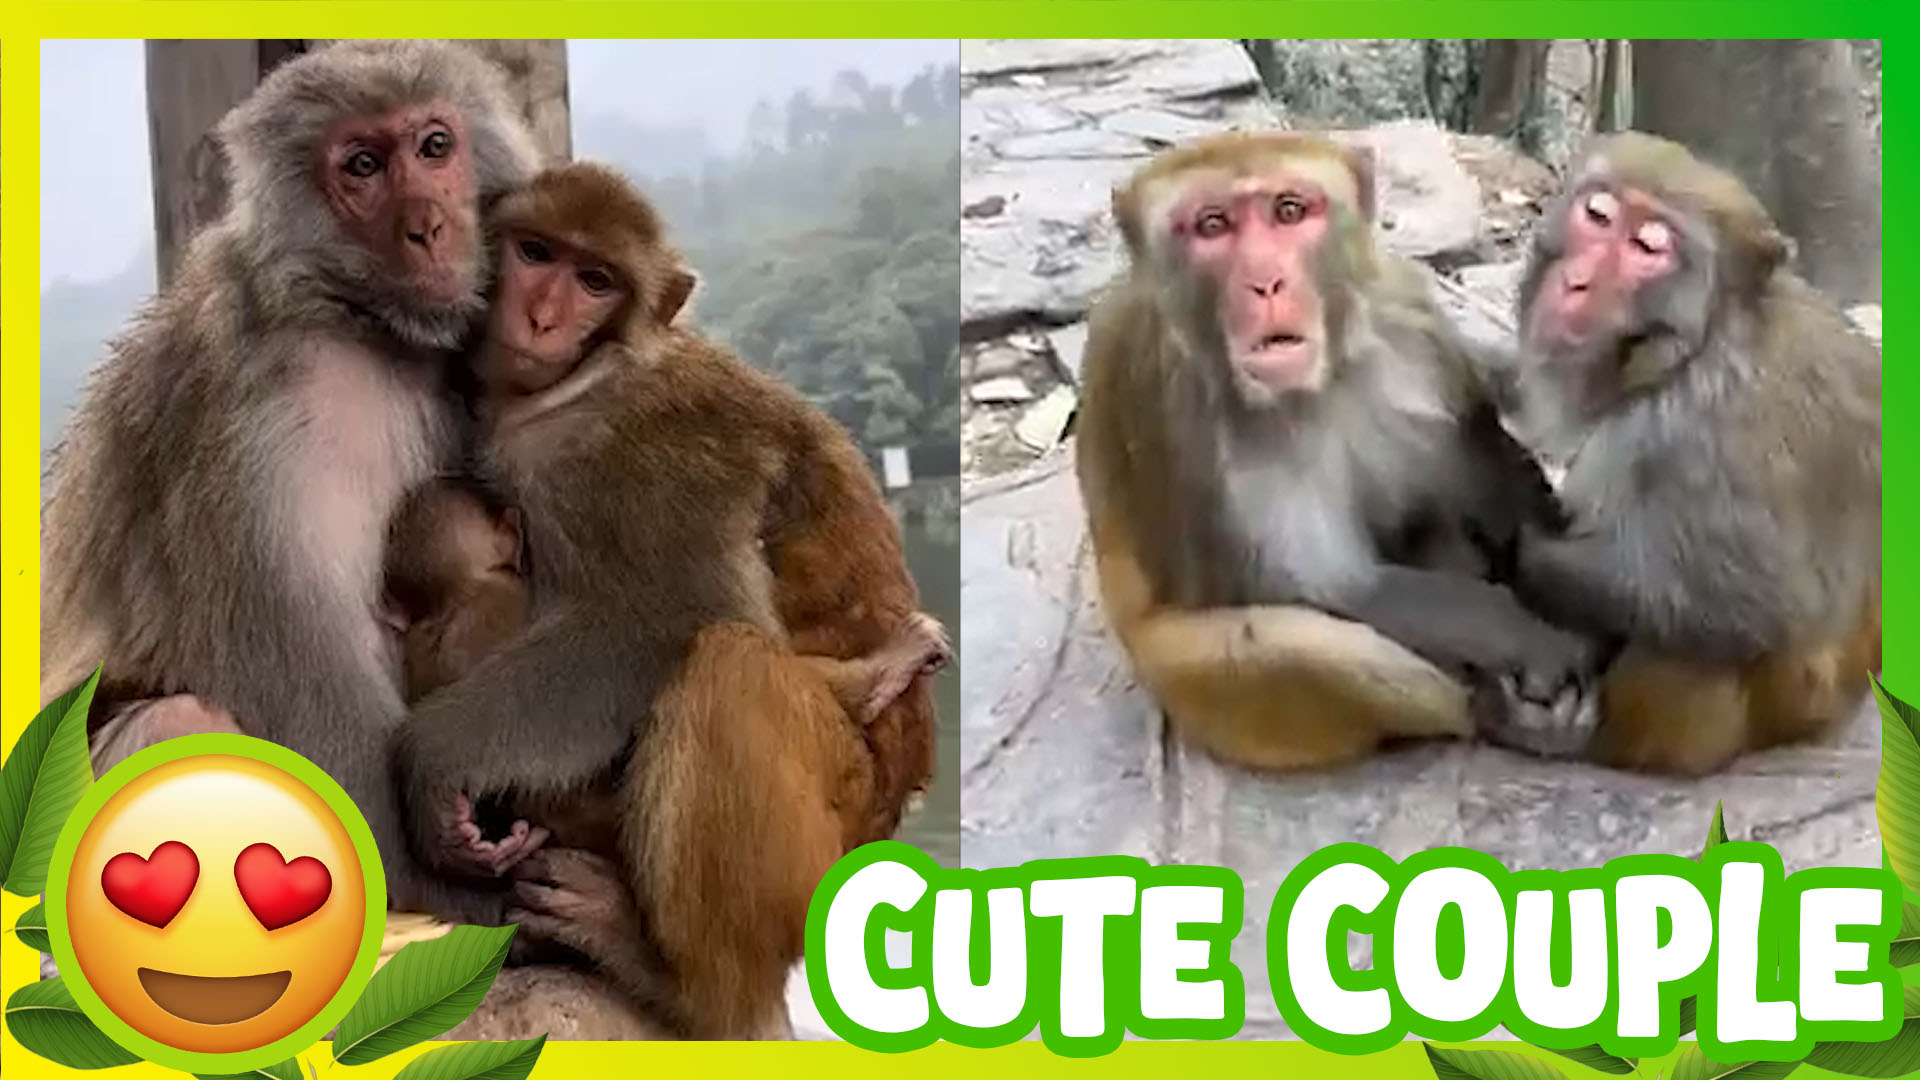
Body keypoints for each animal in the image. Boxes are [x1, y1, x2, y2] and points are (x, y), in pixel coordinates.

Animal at [38, 40, 543, 915]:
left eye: (434, 147)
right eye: (364, 165)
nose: (430, 228)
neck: (359, 322)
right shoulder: (263, 425)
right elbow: (309, 699)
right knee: (179, 721)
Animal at [391, 162, 945, 1038]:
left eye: (596, 280)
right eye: (536, 251)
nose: (542, 316)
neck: (585, 381)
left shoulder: (641, 455)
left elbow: (672, 616)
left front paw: (430, 760)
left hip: (832, 830)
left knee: (726, 666)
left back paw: (690, 984)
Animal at [1073, 130, 1600, 772]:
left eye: (1289, 211)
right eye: (1213, 225)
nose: (1265, 282)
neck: (1315, 384)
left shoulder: (1410, 322)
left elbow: (1478, 472)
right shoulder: (1173, 401)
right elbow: (1323, 590)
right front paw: (1531, 637)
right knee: (1286, 647)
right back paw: (1489, 714)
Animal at [1481, 131, 1882, 776]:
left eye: (1649, 248)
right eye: (1598, 215)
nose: (1579, 280)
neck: (1692, 348)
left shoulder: (1712, 429)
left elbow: (1760, 601)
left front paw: (1521, 549)